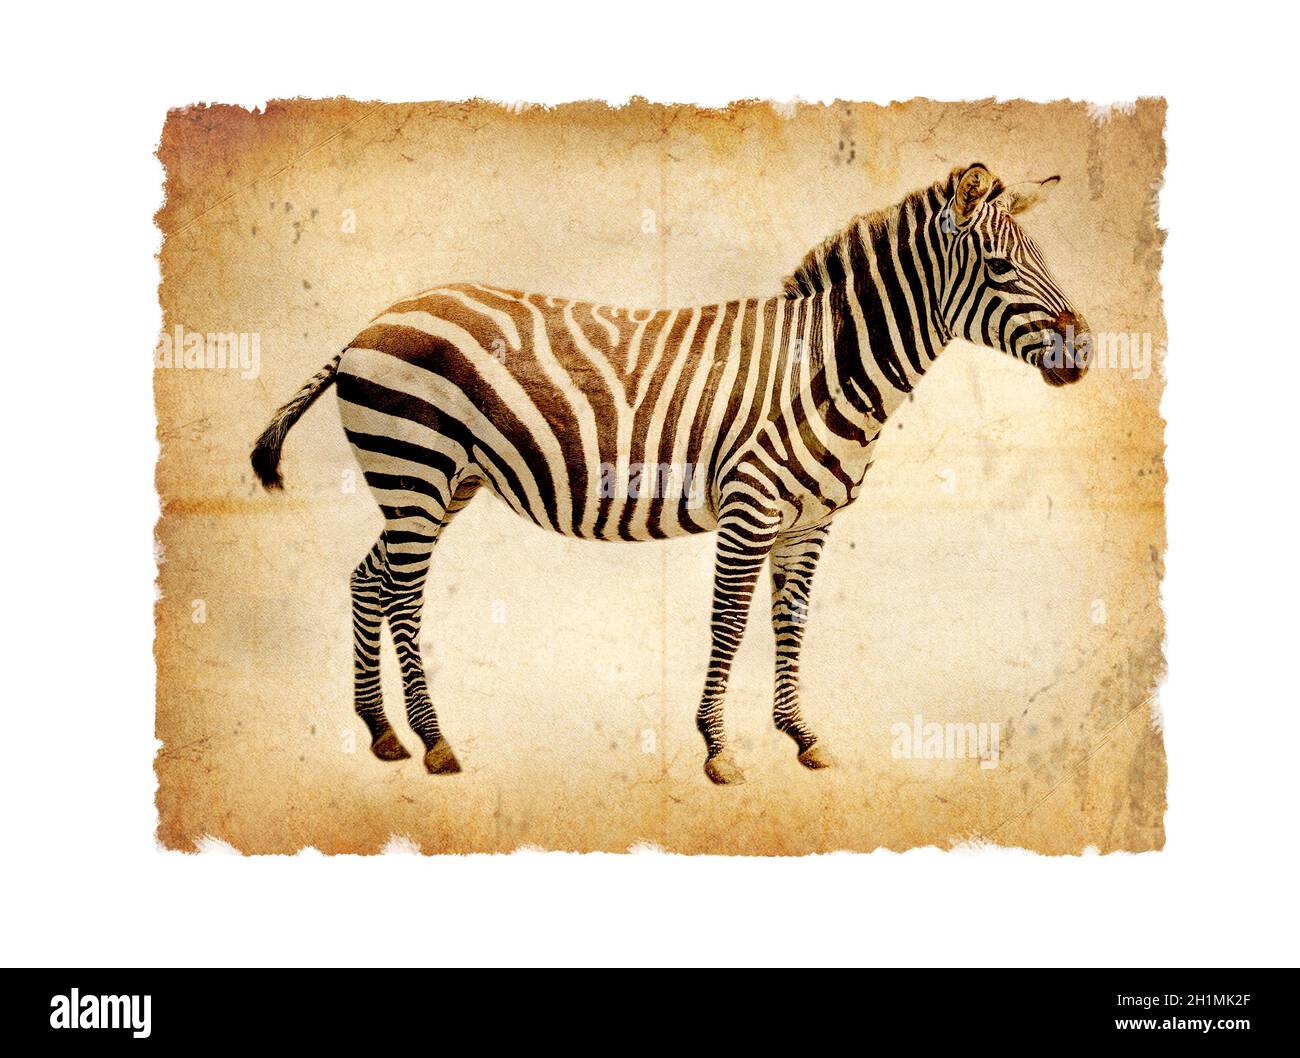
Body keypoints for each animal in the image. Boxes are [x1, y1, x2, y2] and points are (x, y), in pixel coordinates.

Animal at [251, 162, 1090, 785]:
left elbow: (791, 623)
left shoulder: (810, 522)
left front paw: (801, 736)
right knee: (401, 595)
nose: (1083, 351)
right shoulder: (751, 508)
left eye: (1045, 259)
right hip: (416, 469)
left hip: (436, 482)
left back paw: (382, 732)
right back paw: (434, 742)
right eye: (1000, 267)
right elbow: (730, 623)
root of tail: (368, 324)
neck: (823, 367)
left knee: (369, 578)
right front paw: (718, 750)